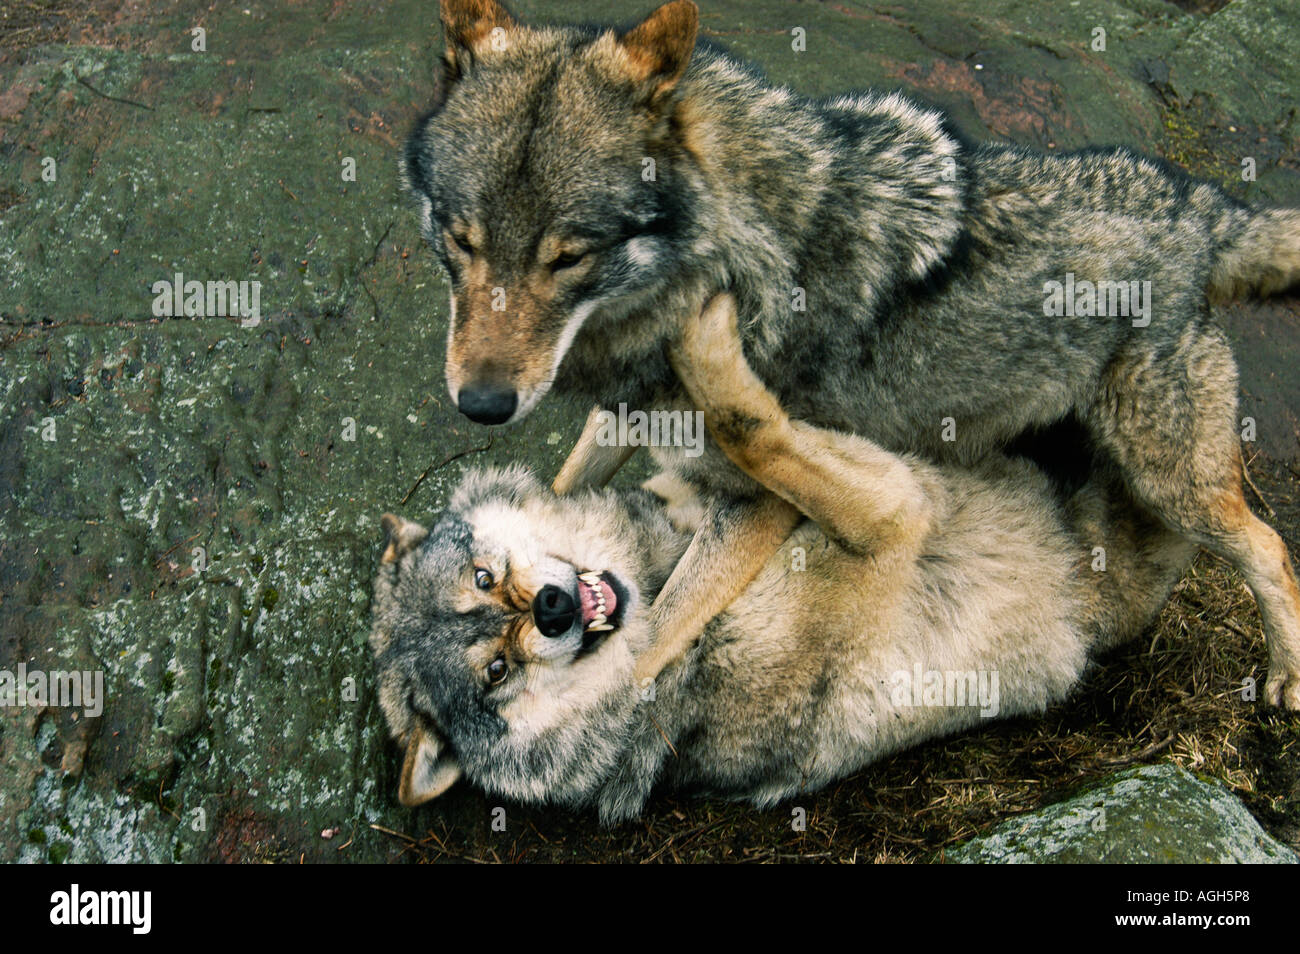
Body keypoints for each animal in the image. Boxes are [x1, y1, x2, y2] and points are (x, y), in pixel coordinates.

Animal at [401, 0, 1300, 705]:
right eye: (462, 240)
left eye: (569, 257)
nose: (481, 406)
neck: (717, 257)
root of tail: (1203, 207)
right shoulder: (624, 413)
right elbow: (562, 486)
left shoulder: (757, 508)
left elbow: (652, 642)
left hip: (1171, 479)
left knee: (1269, 547)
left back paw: (1286, 674)